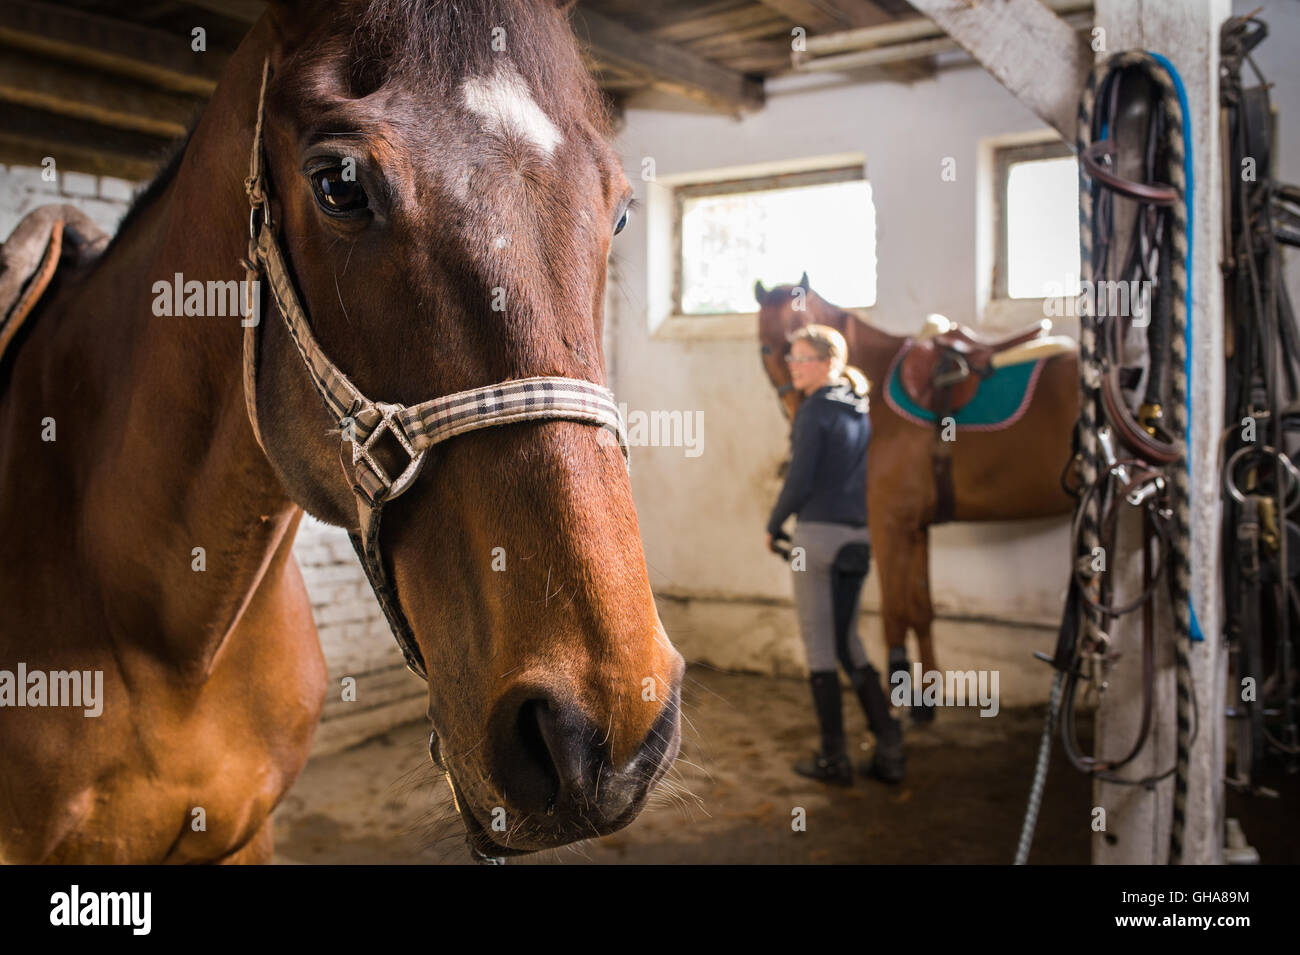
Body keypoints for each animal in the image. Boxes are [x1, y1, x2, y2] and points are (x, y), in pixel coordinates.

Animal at [755, 275, 1076, 718]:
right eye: (767, 347)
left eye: (802, 337)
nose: (802, 406)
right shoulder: (916, 526)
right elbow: (922, 609)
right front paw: (927, 695)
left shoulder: (888, 523)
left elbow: (895, 613)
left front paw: (899, 697)